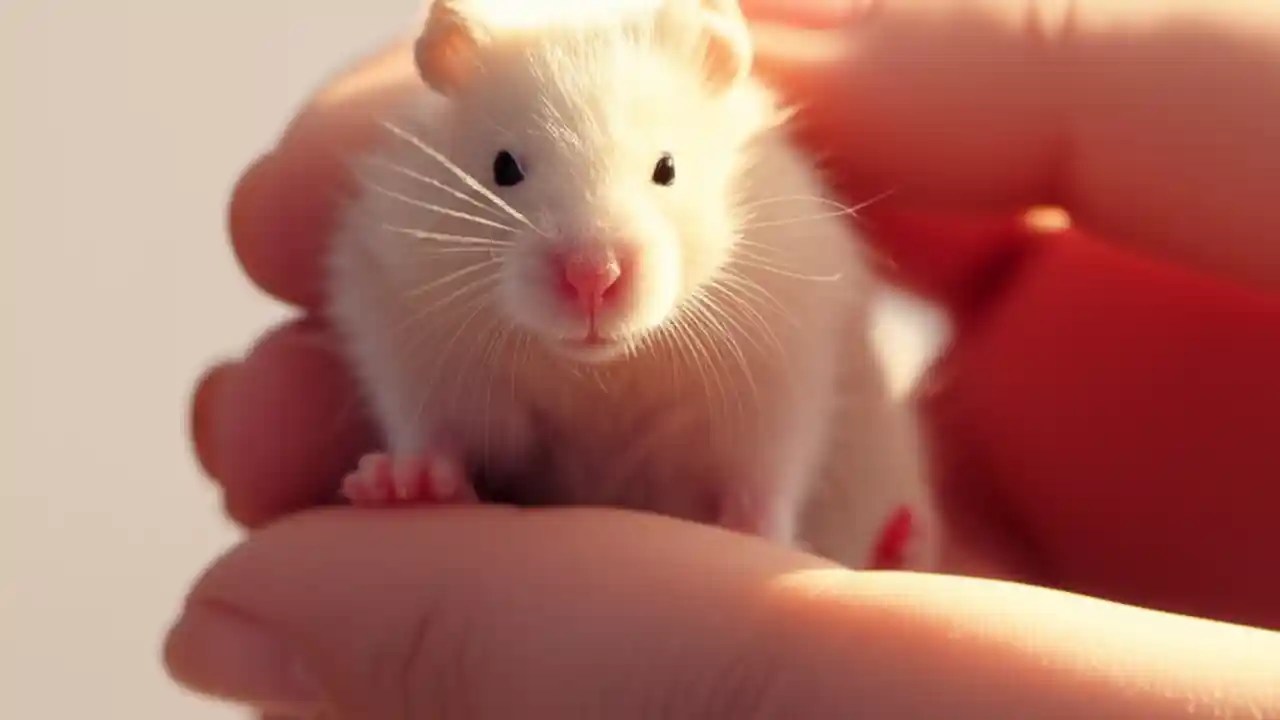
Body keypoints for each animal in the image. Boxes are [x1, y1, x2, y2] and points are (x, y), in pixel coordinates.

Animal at [324, 0, 940, 570]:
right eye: (503, 167)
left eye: (666, 168)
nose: (592, 277)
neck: (601, 372)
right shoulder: (404, 322)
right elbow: (430, 426)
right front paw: (402, 484)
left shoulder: (779, 363)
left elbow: (766, 468)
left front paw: (756, 533)